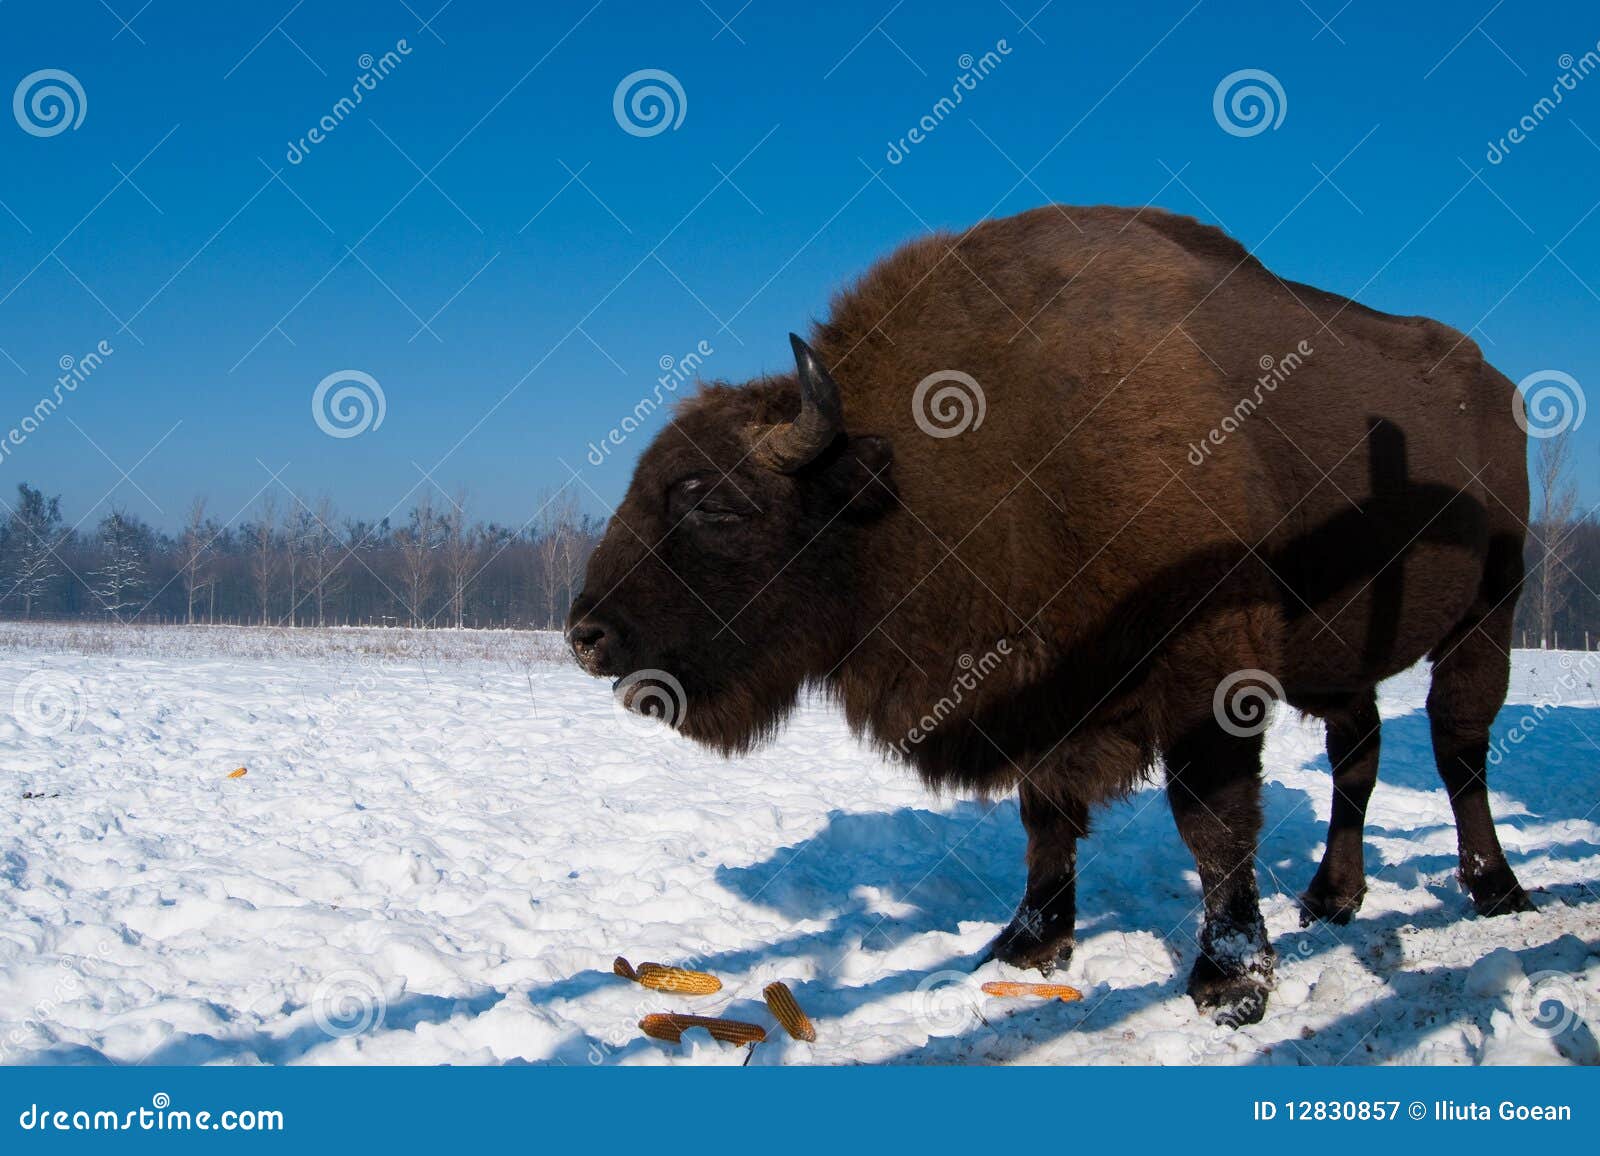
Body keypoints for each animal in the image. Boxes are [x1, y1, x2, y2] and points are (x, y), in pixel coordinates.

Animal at [567, 205, 1534, 1026]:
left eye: (712, 500)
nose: (587, 635)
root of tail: (1496, 386)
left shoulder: (1210, 670)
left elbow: (1212, 817)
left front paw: (1230, 981)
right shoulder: (1033, 686)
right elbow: (1045, 817)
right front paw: (1029, 943)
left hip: (1490, 613)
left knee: (1458, 743)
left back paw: (1497, 889)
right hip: (1341, 661)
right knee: (1358, 752)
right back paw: (1333, 898)